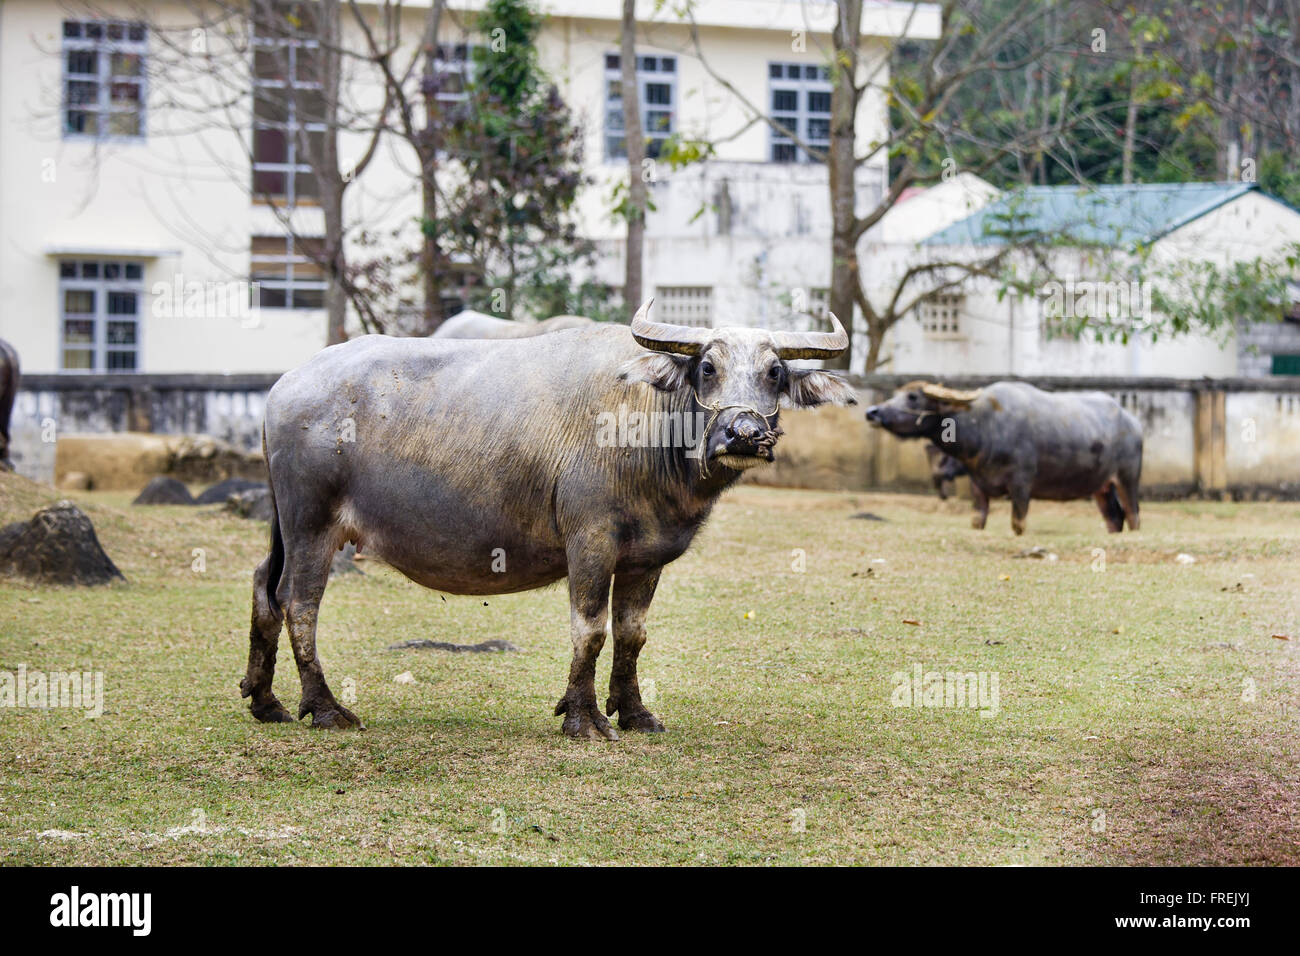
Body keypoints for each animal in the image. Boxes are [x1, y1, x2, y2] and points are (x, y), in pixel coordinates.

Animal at [242, 301, 856, 737]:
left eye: (775, 373)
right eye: (707, 367)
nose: (744, 434)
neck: (641, 423)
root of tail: (284, 386)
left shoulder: (646, 559)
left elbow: (632, 634)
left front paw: (634, 713)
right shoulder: (590, 542)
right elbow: (591, 630)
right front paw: (583, 718)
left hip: (285, 527)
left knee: (264, 587)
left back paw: (266, 700)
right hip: (312, 526)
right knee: (299, 605)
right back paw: (325, 709)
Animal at [865, 381, 1142, 535]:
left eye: (913, 397)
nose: (872, 412)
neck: (985, 426)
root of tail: (1132, 422)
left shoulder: (1021, 485)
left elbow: (1018, 524)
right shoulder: (977, 485)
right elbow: (977, 521)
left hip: (1128, 479)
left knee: (1133, 516)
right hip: (1101, 487)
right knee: (1114, 518)